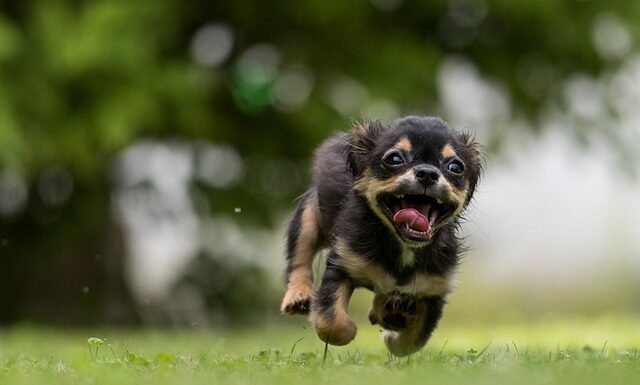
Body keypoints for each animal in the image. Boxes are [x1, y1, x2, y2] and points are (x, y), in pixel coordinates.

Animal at [280, 115, 480, 356]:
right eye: (394, 159)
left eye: (455, 167)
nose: (427, 173)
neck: (403, 246)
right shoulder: (341, 265)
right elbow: (331, 323)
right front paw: (350, 330)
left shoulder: (434, 291)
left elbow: (411, 343)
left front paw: (392, 335)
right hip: (308, 219)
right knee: (299, 261)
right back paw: (298, 297)